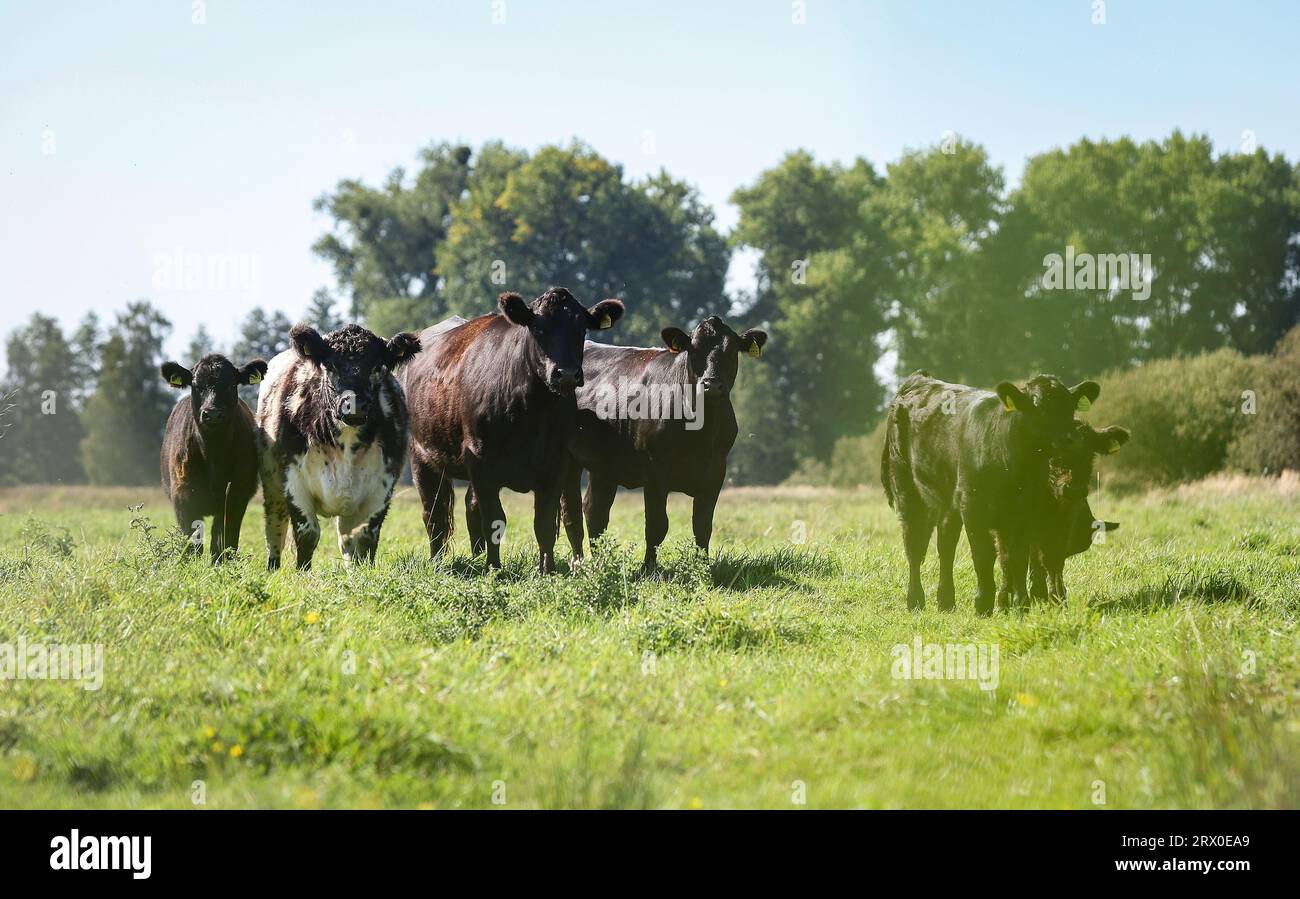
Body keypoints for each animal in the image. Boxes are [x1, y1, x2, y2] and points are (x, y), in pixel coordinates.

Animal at [159, 354, 267, 562]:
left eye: (231, 384)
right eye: (196, 385)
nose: (213, 413)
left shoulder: (236, 495)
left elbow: (223, 540)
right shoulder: (183, 497)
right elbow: (192, 541)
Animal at [255, 323, 421, 569]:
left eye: (377, 366)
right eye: (331, 365)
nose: (355, 406)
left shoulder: (383, 485)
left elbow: (364, 537)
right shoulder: (293, 480)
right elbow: (307, 534)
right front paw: (302, 573)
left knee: (347, 537)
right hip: (272, 486)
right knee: (275, 529)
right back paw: (273, 567)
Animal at [402, 288, 625, 572]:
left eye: (581, 329)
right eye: (538, 328)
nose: (566, 374)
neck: (532, 411)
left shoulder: (556, 463)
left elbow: (543, 523)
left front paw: (546, 570)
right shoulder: (480, 459)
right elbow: (494, 520)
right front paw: (494, 569)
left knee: (469, 506)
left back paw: (476, 557)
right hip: (421, 456)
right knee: (435, 514)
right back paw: (439, 563)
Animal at [560, 315, 768, 571]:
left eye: (731, 351)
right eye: (694, 349)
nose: (711, 385)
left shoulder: (716, 471)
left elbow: (702, 525)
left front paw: (702, 567)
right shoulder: (655, 471)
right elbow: (657, 524)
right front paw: (648, 569)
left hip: (604, 464)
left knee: (595, 510)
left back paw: (601, 563)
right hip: (568, 459)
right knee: (572, 513)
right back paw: (579, 564)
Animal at [880, 371, 1101, 614]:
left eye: (1070, 407)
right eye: (1037, 406)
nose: (1070, 442)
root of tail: (919, 379)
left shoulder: (1025, 510)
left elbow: (1017, 558)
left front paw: (1020, 605)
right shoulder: (973, 506)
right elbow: (983, 555)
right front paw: (983, 604)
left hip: (948, 503)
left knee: (946, 546)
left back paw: (946, 602)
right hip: (907, 490)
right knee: (915, 545)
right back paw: (915, 601)